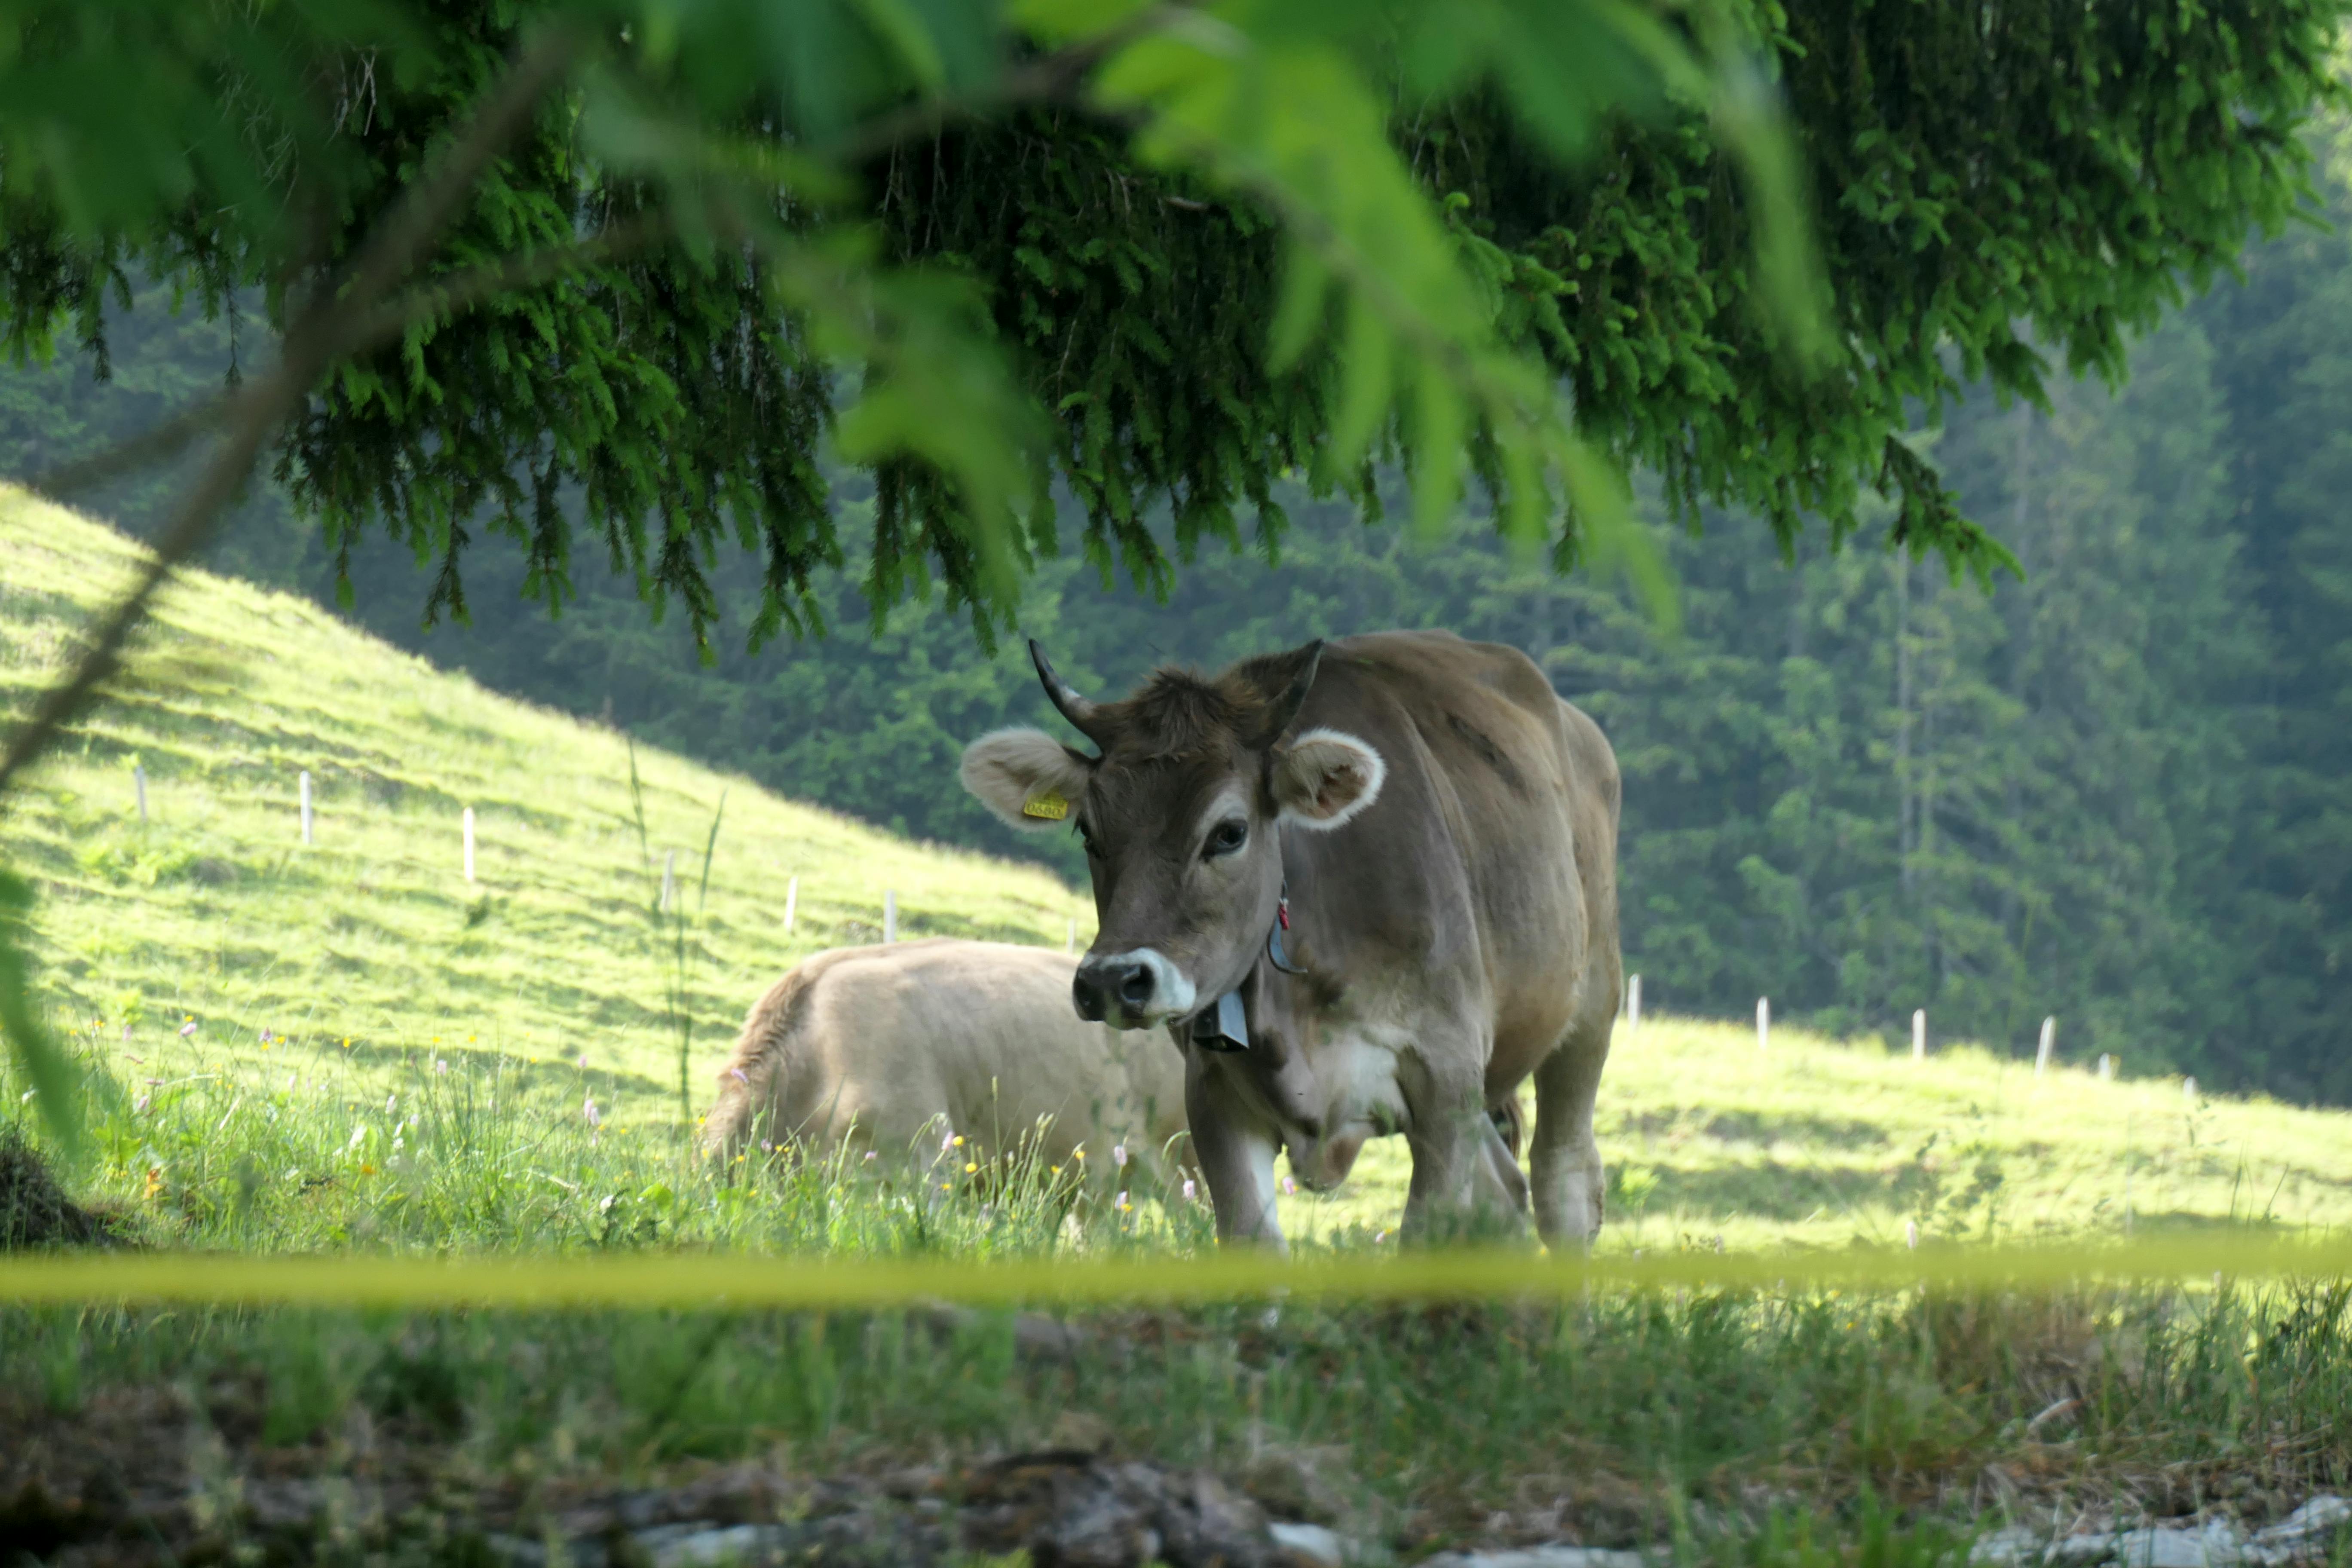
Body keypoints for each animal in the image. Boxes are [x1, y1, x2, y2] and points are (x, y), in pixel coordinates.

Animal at [958, 630, 1621, 1248]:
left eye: (1229, 832)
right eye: (1089, 832)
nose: (1113, 981)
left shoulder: (1445, 1080)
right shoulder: (1214, 1096)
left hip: (1588, 1012)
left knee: (1563, 1183)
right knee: (1501, 1193)